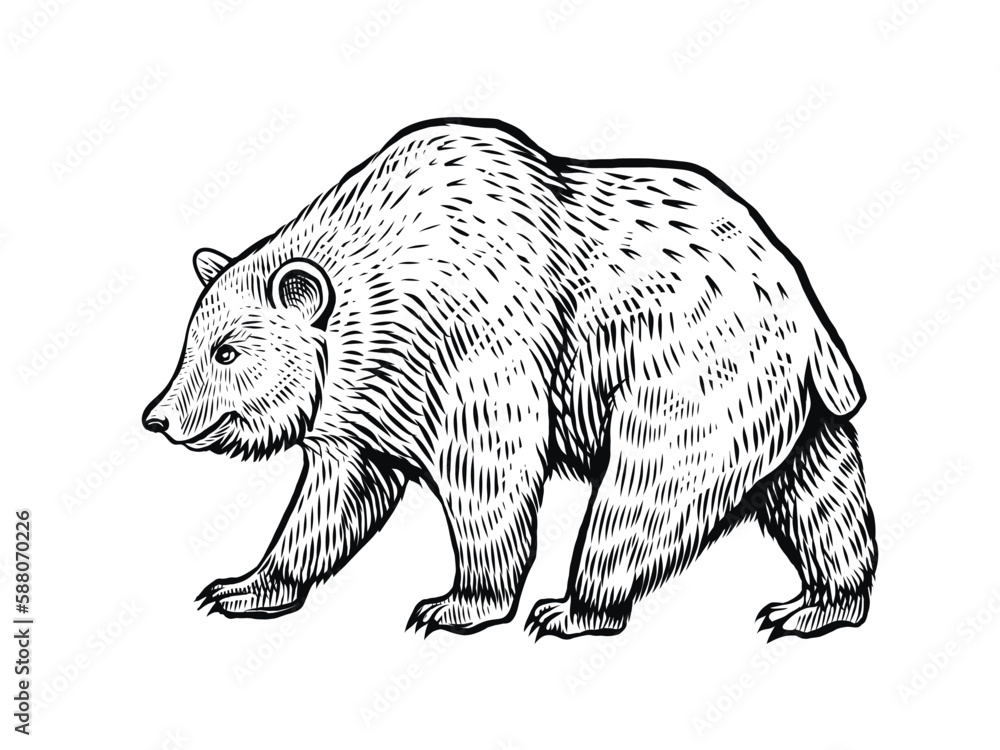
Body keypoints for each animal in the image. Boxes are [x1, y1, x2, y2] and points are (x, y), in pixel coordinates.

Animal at [143, 117, 875, 640]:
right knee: (819, 493)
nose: (158, 416)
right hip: (785, 398)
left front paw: (455, 603)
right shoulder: (366, 399)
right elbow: (337, 497)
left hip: (689, 365)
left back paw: (575, 607)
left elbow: (488, 472)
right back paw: (817, 604)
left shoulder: (474, 341)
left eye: (226, 353)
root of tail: (796, 288)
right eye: (189, 344)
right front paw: (242, 586)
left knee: (644, 491)